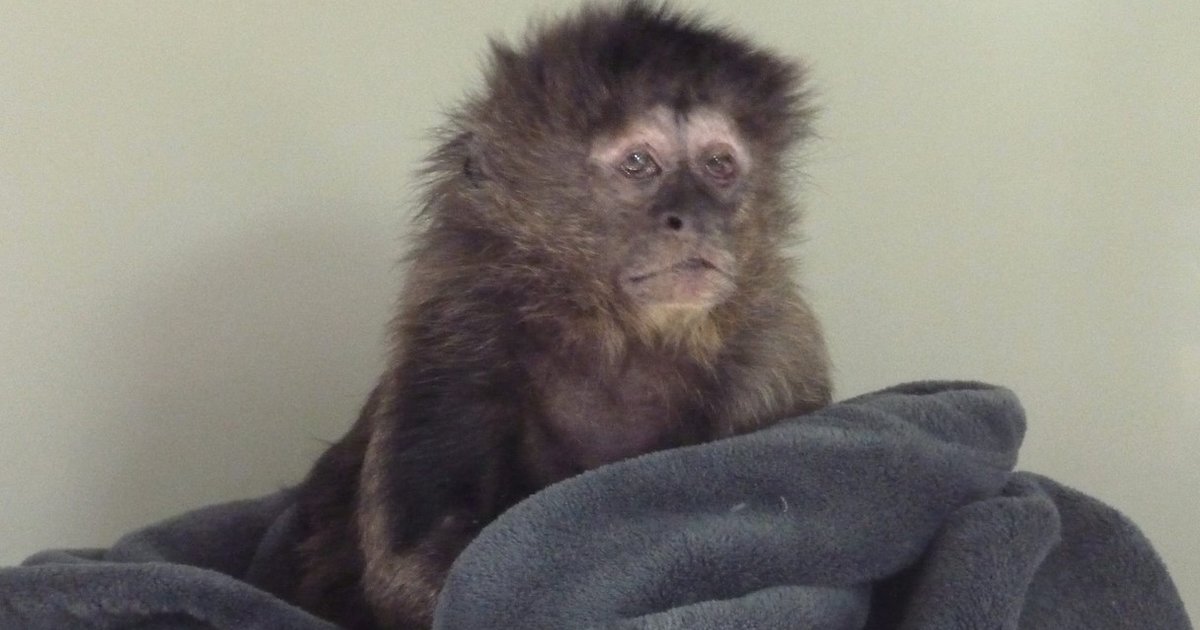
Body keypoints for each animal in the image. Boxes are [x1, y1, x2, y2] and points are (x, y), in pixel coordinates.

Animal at [289, 2, 832, 628]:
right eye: (639, 164)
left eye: (718, 164)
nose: (694, 216)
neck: (615, 335)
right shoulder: (454, 333)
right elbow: (426, 573)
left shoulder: (777, 350)